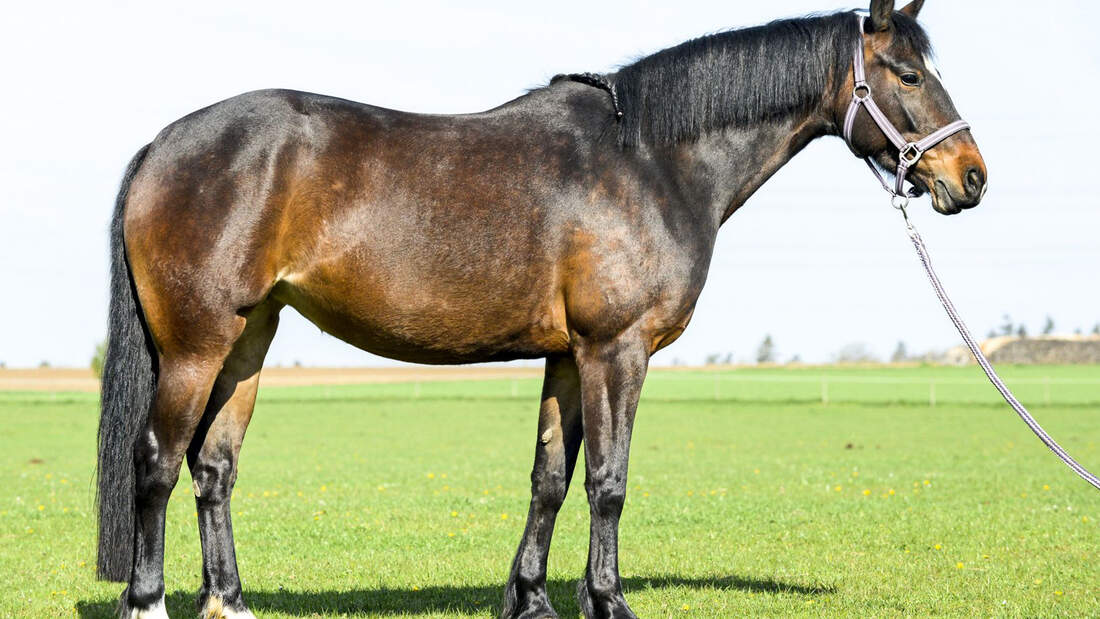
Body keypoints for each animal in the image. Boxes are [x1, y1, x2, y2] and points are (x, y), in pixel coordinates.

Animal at [96, 1, 986, 617]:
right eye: (906, 74)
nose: (971, 175)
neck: (651, 161)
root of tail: (162, 145)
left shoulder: (567, 353)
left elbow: (550, 479)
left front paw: (531, 597)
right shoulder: (616, 348)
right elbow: (608, 480)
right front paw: (611, 599)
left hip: (250, 337)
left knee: (214, 466)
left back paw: (230, 599)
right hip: (196, 346)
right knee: (159, 460)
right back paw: (149, 599)